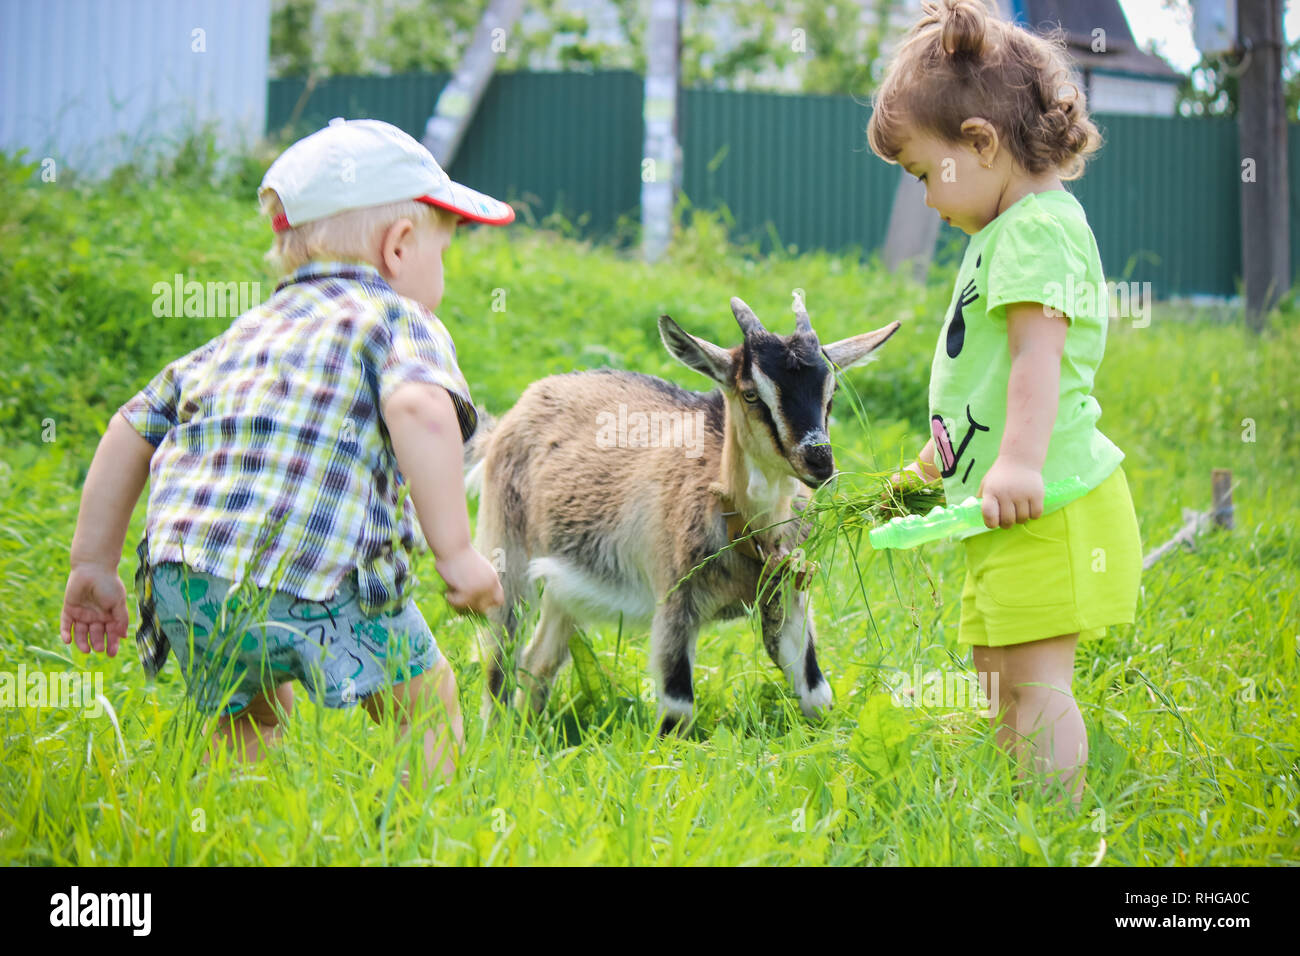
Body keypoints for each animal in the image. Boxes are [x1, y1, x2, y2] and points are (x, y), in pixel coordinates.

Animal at [465, 296, 900, 732]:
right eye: (751, 394)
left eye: (832, 391)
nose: (818, 461)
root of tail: (524, 404)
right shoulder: (674, 602)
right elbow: (677, 709)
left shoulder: (788, 594)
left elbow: (817, 695)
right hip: (506, 548)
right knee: (500, 654)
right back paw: (495, 736)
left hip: (567, 583)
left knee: (538, 659)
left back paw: (529, 730)